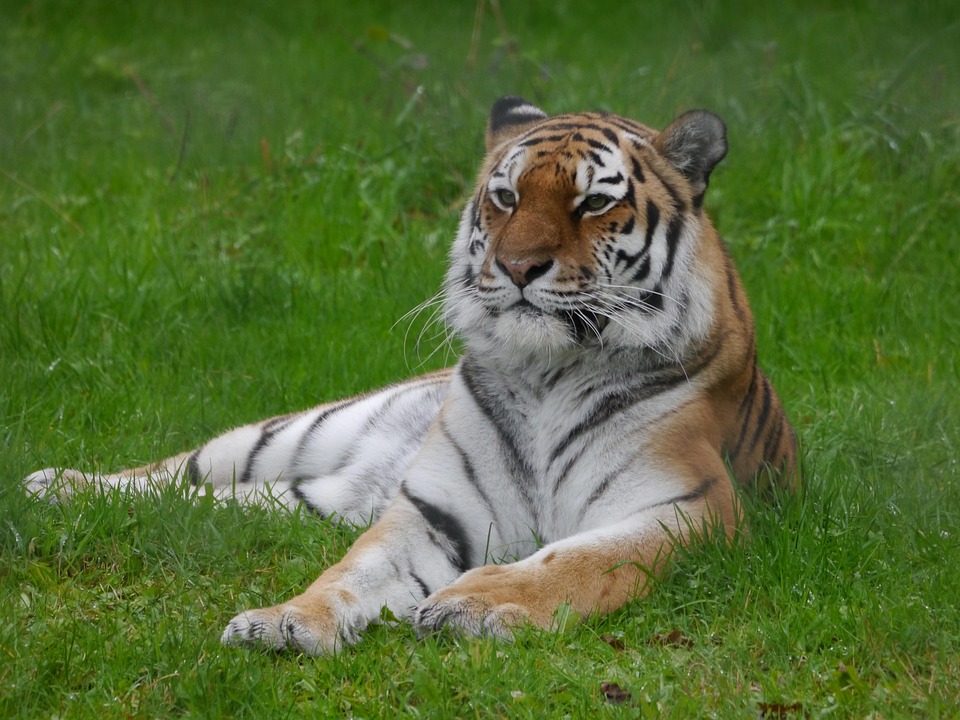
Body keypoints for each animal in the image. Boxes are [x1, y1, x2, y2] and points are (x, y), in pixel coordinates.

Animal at [25, 96, 797, 654]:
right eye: (507, 198)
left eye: (594, 203)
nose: (518, 267)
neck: (546, 373)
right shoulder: (431, 509)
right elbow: (352, 570)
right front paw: (285, 620)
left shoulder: (688, 506)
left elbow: (577, 561)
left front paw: (475, 604)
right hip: (293, 435)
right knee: (171, 473)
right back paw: (55, 485)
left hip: (310, 497)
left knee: (202, 500)